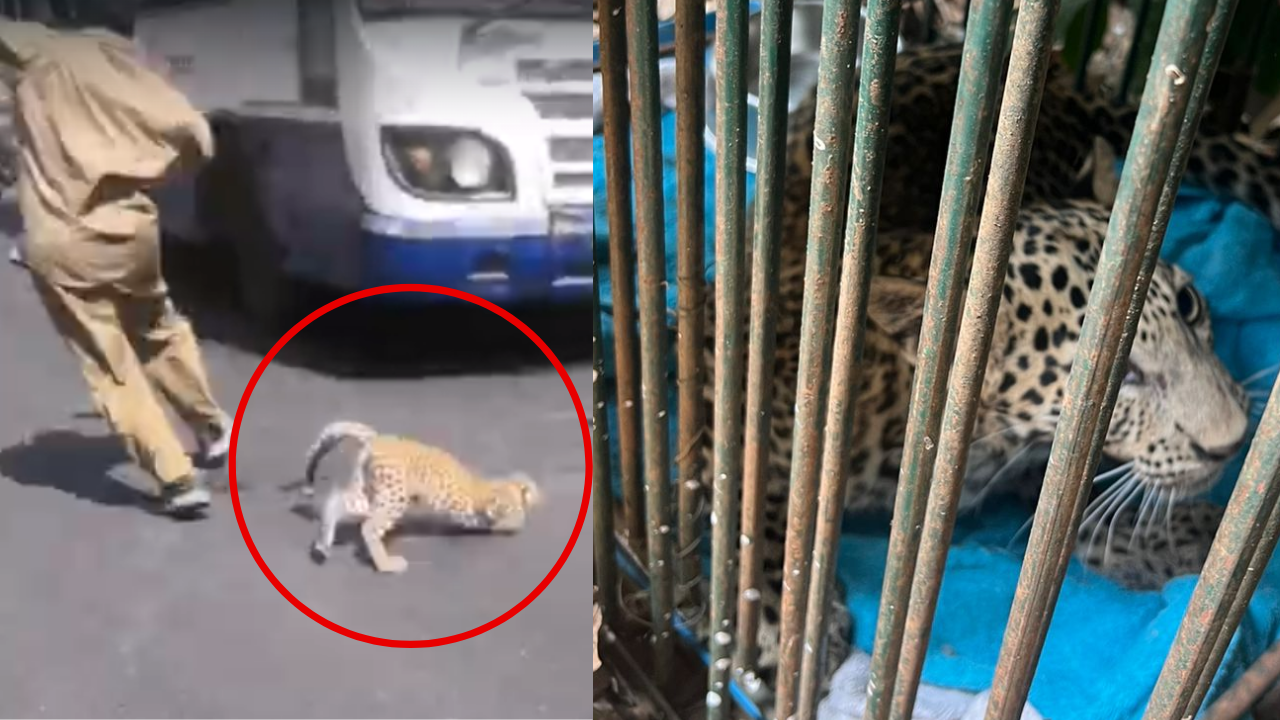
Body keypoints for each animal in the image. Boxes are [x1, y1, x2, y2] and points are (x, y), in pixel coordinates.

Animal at [301, 421, 541, 574]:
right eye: (504, 508)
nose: (502, 511)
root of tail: (377, 437)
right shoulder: (481, 515)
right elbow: (505, 521)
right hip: (394, 496)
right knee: (369, 526)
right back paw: (386, 565)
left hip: (370, 490)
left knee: (338, 502)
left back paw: (322, 544)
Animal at [688, 42, 1272, 714]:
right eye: (1113, 378)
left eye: (1190, 306)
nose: (1232, 442)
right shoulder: (723, 355)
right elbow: (746, 482)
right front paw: (769, 622)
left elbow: (1074, 512)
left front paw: (1200, 542)